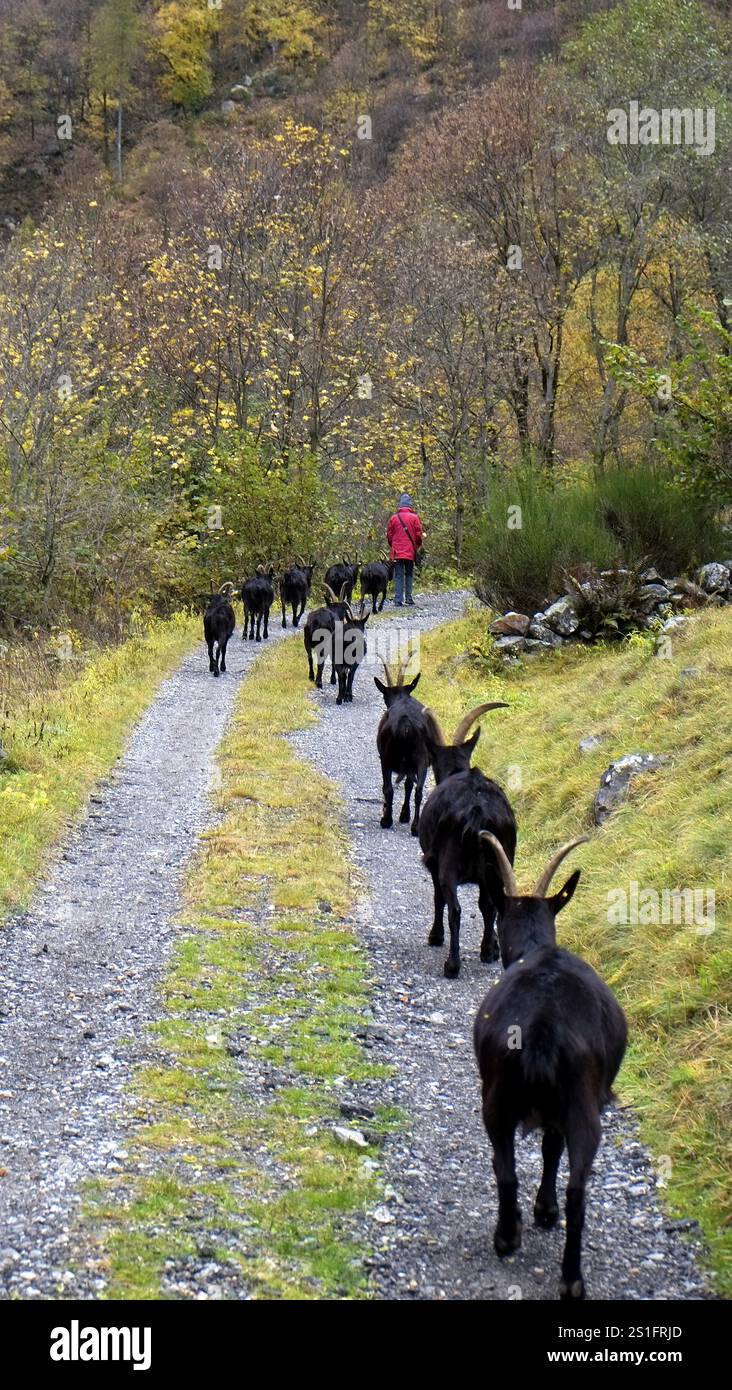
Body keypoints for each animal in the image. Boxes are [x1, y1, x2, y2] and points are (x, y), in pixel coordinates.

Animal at [375, 649, 430, 834]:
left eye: (385, 696)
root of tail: (405, 725)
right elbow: (409, 785)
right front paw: (405, 816)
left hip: (387, 757)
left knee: (389, 788)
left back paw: (386, 820)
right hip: (421, 759)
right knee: (418, 791)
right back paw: (416, 827)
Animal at [418, 703, 514, 977]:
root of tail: (477, 810)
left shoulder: (435, 864)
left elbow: (438, 897)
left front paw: (435, 936)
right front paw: (494, 947)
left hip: (449, 864)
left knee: (456, 909)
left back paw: (452, 964)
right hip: (500, 861)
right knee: (490, 905)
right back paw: (487, 951)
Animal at [474, 834, 627, 1300]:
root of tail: (541, 1027)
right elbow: (551, 1148)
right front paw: (545, 1210)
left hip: (497, 1099)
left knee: (506, 1169)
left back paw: (509, 1237)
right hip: (581, 1108)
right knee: (576, 1190)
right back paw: (570, 1277)